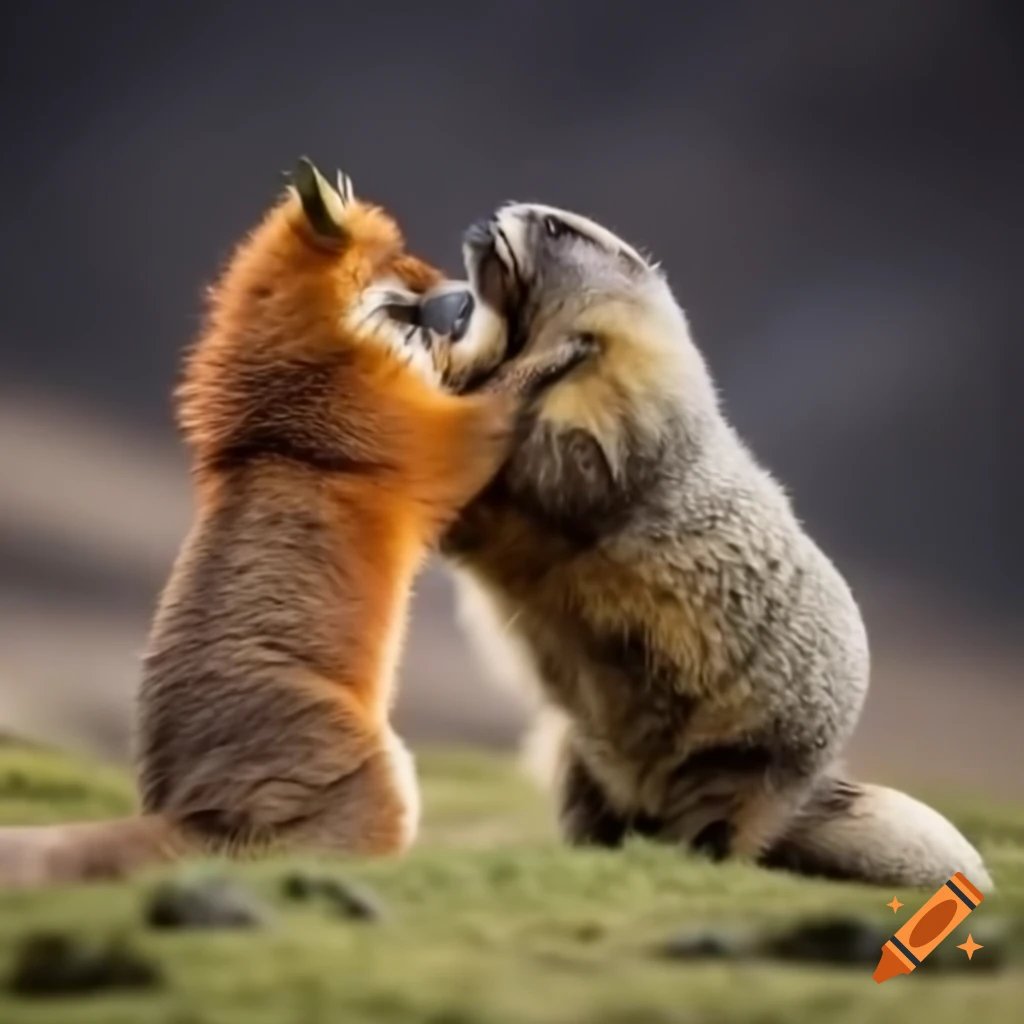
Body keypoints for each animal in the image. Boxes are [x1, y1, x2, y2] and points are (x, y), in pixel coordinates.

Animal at [0, 160, 592, 887]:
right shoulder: (453, 443)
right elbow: (510, 388)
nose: (461, 287)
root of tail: (186, 808)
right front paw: (563, 349)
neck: (302, 403)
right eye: (399, 262)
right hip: (389, 782)